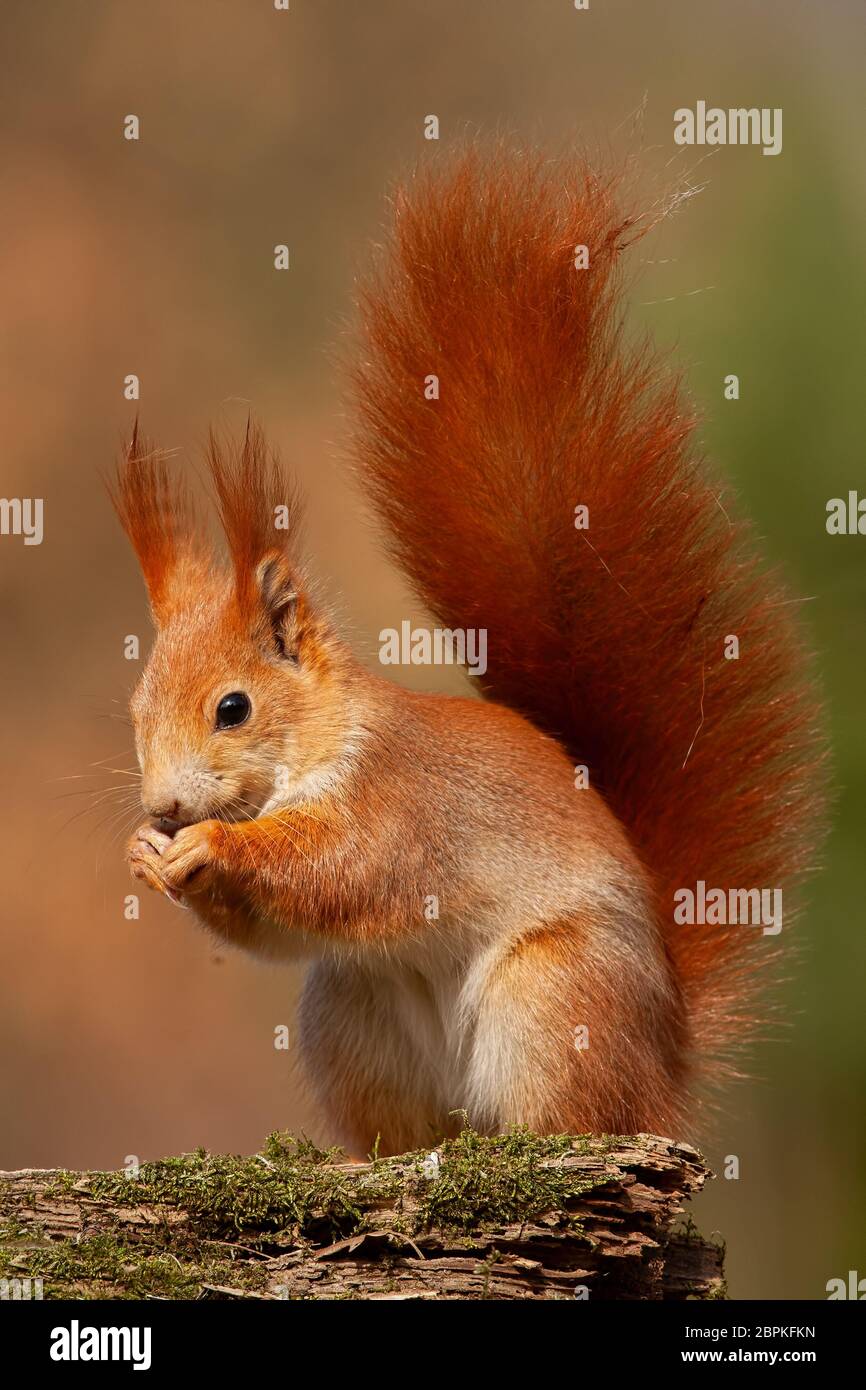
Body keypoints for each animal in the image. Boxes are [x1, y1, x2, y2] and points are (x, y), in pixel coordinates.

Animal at [112, 149, 825, 1157]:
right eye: (135, 712)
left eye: (233, 708)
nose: (165, 806)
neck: (322, 741)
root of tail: (668, 1056)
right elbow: (276, 929)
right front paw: (148, 852)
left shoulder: (399, 805)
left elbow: (341, 870)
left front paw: (209, 843)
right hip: (352, 1010)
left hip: (554, 996)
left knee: (578, 1110)